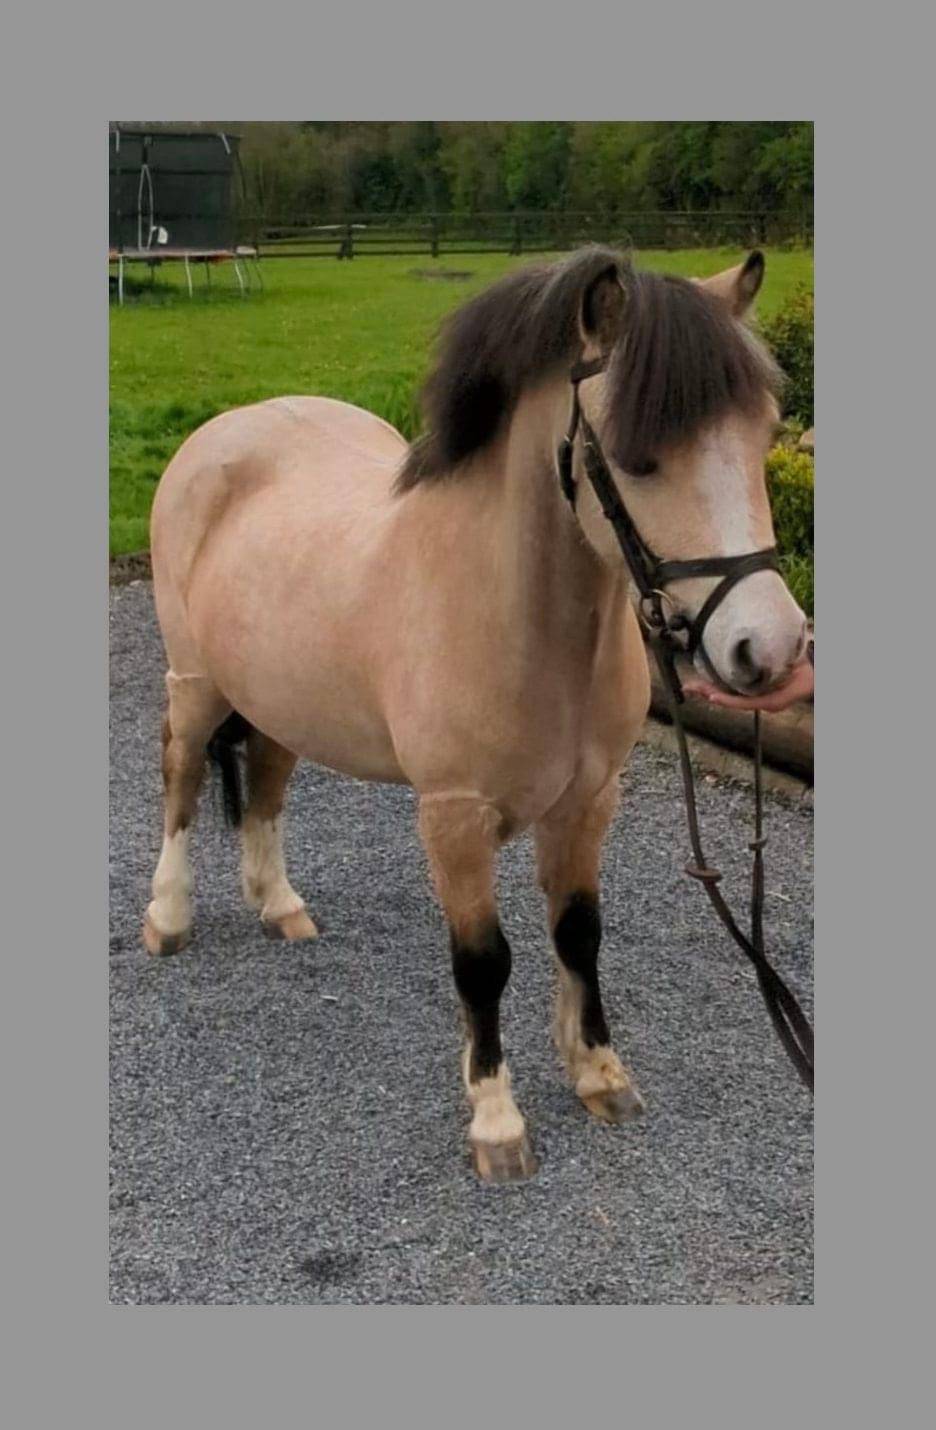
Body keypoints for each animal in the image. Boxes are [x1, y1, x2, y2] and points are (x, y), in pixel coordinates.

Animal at [143, 246, 807, 1182]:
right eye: (638, 458)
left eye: (764, 431)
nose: (771, 651)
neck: (516, 616)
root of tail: (227, 430)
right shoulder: (454, 818)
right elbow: (483, 962)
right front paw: (496, 1121)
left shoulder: (588, 802)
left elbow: (578, 933)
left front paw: (599, 1075)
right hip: (197, 683)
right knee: (180, 776)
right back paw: (167, 918)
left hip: (279, 694)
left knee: (267, 778)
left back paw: (280, 906)